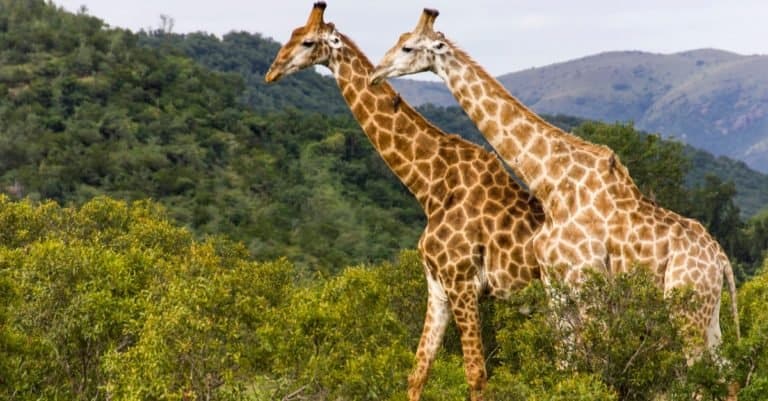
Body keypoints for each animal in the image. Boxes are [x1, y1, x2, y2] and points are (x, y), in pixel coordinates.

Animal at [265, 3, 544, 400]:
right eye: (290, 33)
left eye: (306, 41)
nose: (271, 72)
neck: (431, 186)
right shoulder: (438, 286)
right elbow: (417, 372)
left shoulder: (462, 283)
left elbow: (476, 375)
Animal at [370, 9, 739, 355]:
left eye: (408, 47)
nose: (376, 73)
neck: (550, 182)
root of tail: (721, 260)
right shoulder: (556, 289)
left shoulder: (586, 284)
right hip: (709, 316)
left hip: (686, 309)